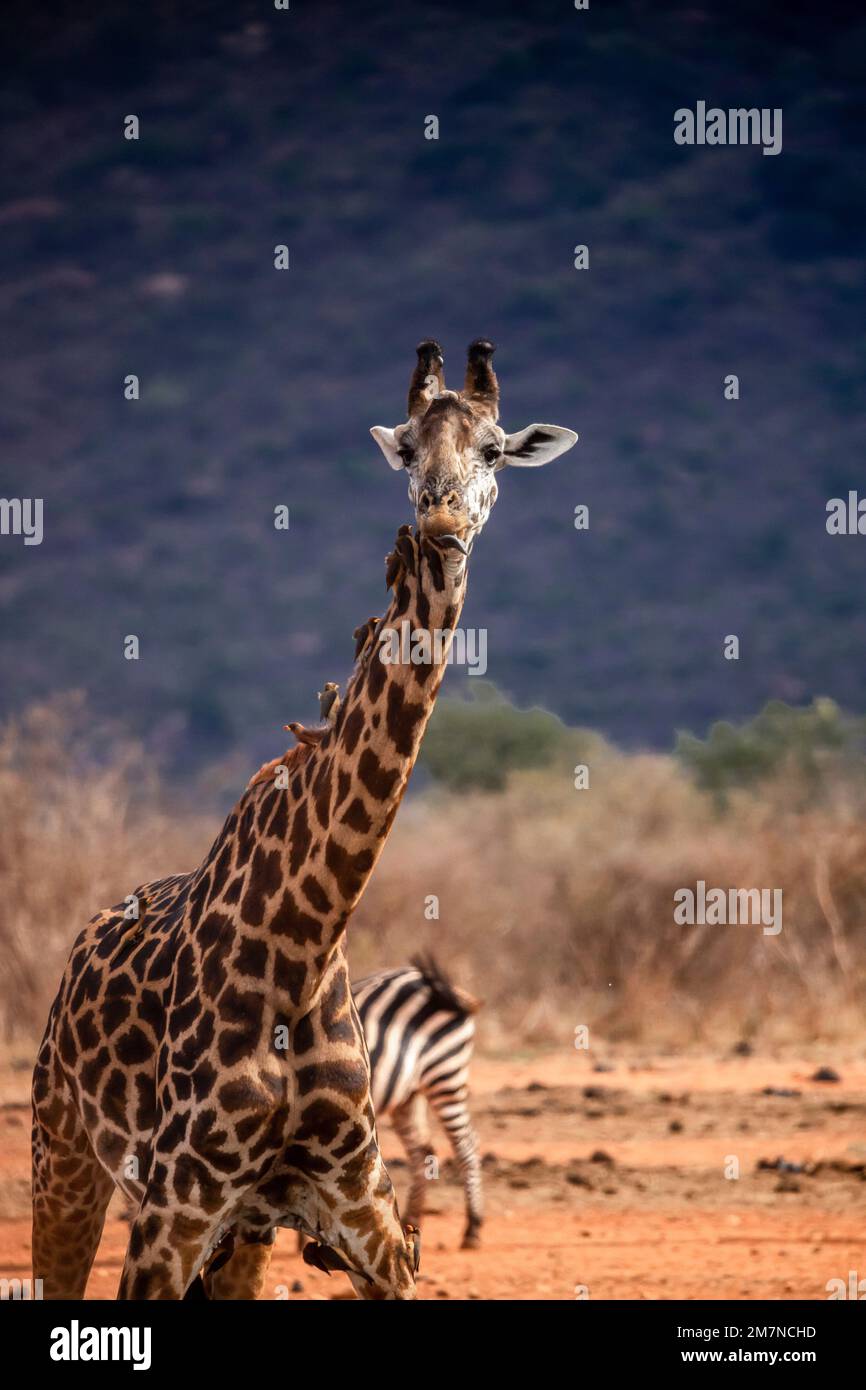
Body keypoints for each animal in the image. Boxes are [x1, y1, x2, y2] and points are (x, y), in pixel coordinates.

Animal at [31, 339, 577, 1301]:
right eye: (408, 448)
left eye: (495, 450)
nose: (442, 522)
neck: (308, 931)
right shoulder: (173, 1215)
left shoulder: (362, 1220)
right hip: (63, 1155)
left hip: (241, 1233)